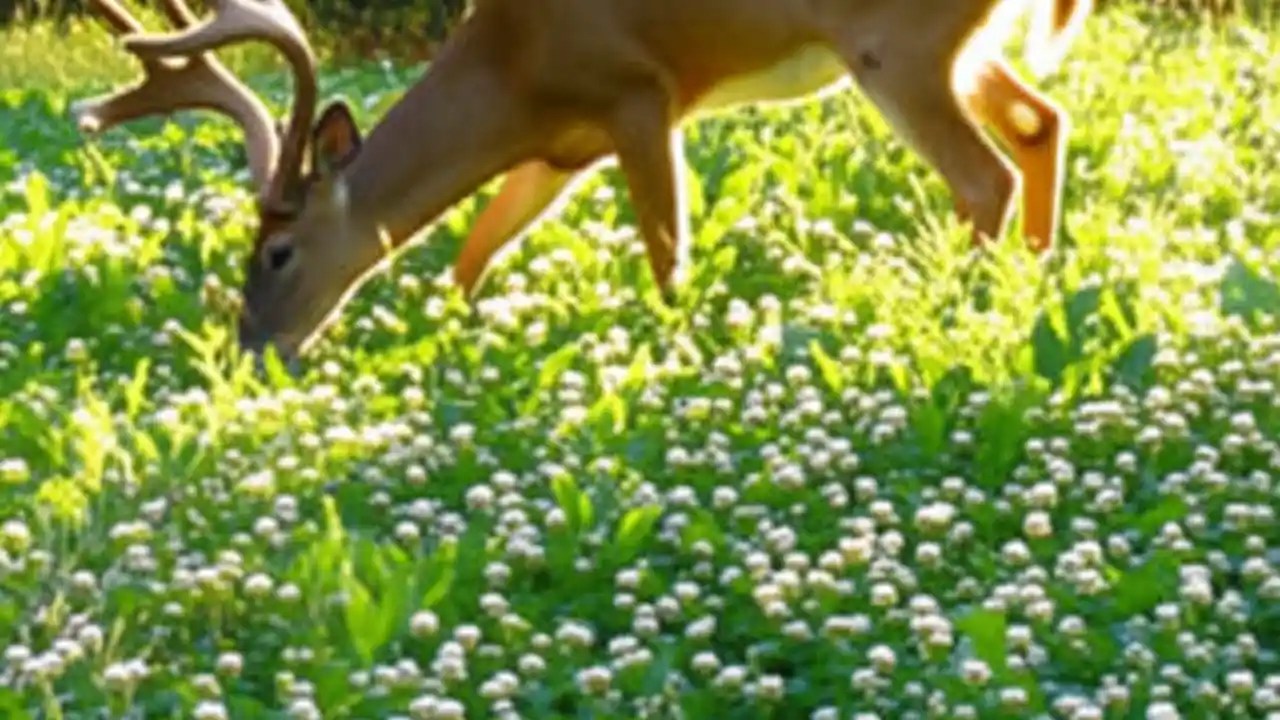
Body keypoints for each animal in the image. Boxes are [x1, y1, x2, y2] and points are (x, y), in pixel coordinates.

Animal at [71, 0, 1093, 363]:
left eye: (278, 250)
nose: (251, 349)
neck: (514, 67)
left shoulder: (638, 95)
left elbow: (668, 260)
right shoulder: (563, 148)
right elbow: (471, 257)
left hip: (897, 47)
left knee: (984, 176)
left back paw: (966, 310)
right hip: (953, 47)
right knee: (1043, 123)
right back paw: (1037, 288)